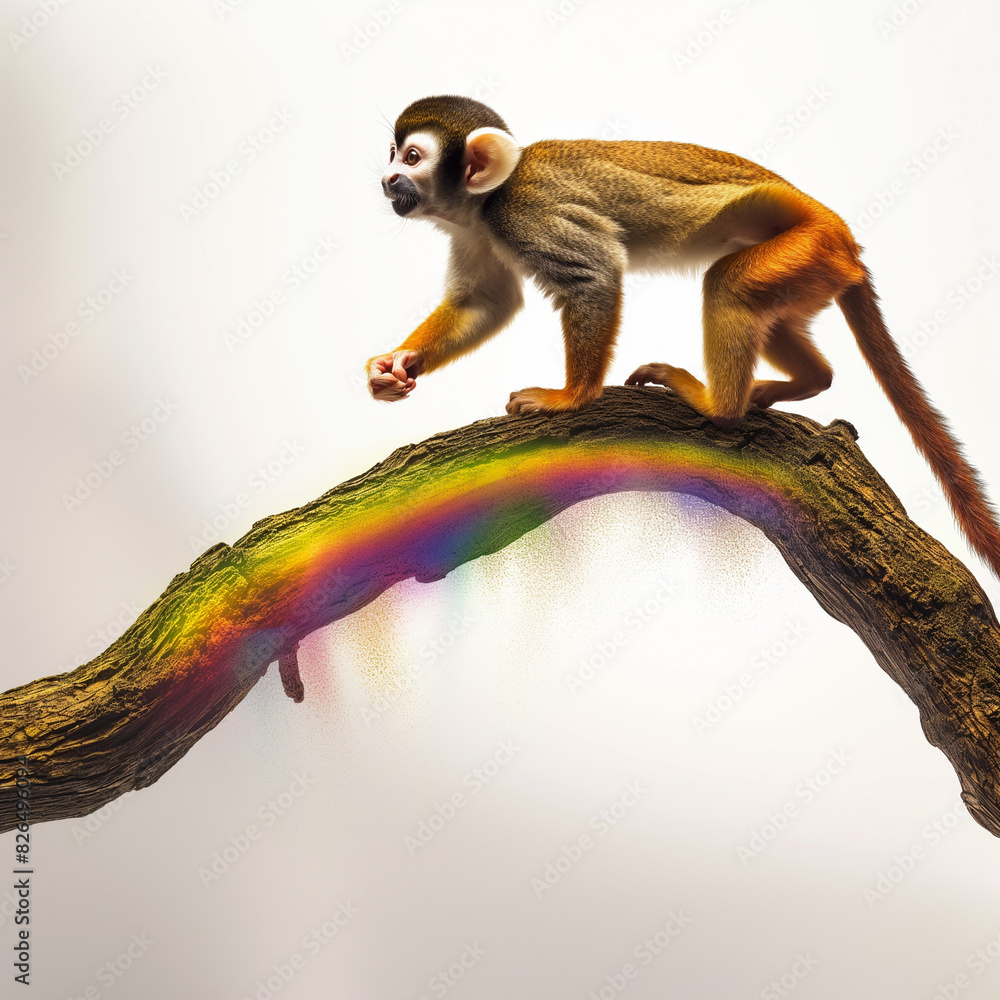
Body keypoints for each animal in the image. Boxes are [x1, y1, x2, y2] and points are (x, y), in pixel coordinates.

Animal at [366, 95, 1000, 580]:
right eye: (393, 154)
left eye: (413, 157)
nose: (387, 179)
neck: (488, 199)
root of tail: (844, 238)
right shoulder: (477, 228)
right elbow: (484, 303)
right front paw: (397, 366)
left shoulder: (525, 213)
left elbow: (596, 274)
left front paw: (570, 399)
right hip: (810, 266)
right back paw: (802, 382)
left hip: (806, 246)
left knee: (727, 285)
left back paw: (719, 405)